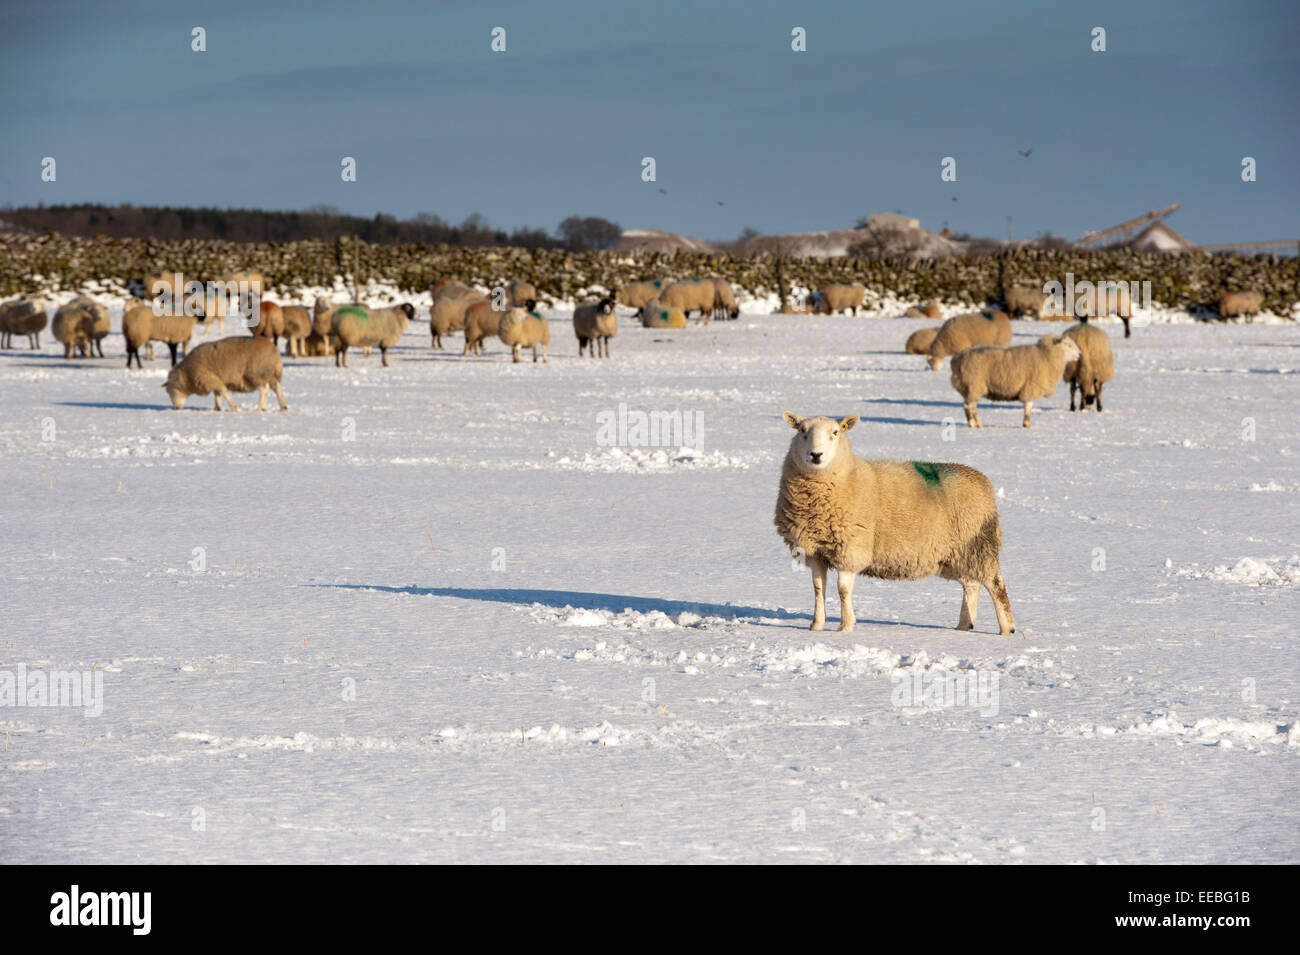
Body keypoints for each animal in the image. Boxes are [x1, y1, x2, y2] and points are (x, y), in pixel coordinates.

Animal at [775, 412, 1015, 635]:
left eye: (835, 432)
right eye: (802, 430)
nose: (816, 455)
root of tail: (982, 480)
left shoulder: (851, 548)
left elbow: (842, 589)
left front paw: (846, 627)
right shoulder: (814, 551)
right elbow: (818, 588)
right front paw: (816, 626)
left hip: (978, 544)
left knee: (996, 583)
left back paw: (1007, 628)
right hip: (956, 553)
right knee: (971, 584)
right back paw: (964, 625)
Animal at [949, 334, 1081, 428]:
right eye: (1068, 345)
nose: (1079, 354)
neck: (1047, 356)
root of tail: (956, 360)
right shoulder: (1030, 388)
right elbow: (1029, 407)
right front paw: (1026, 424)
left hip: (971, 388)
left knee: (971, 406)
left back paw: (976, 424)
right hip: (974, 385)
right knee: (968, 406)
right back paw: (974, 424)